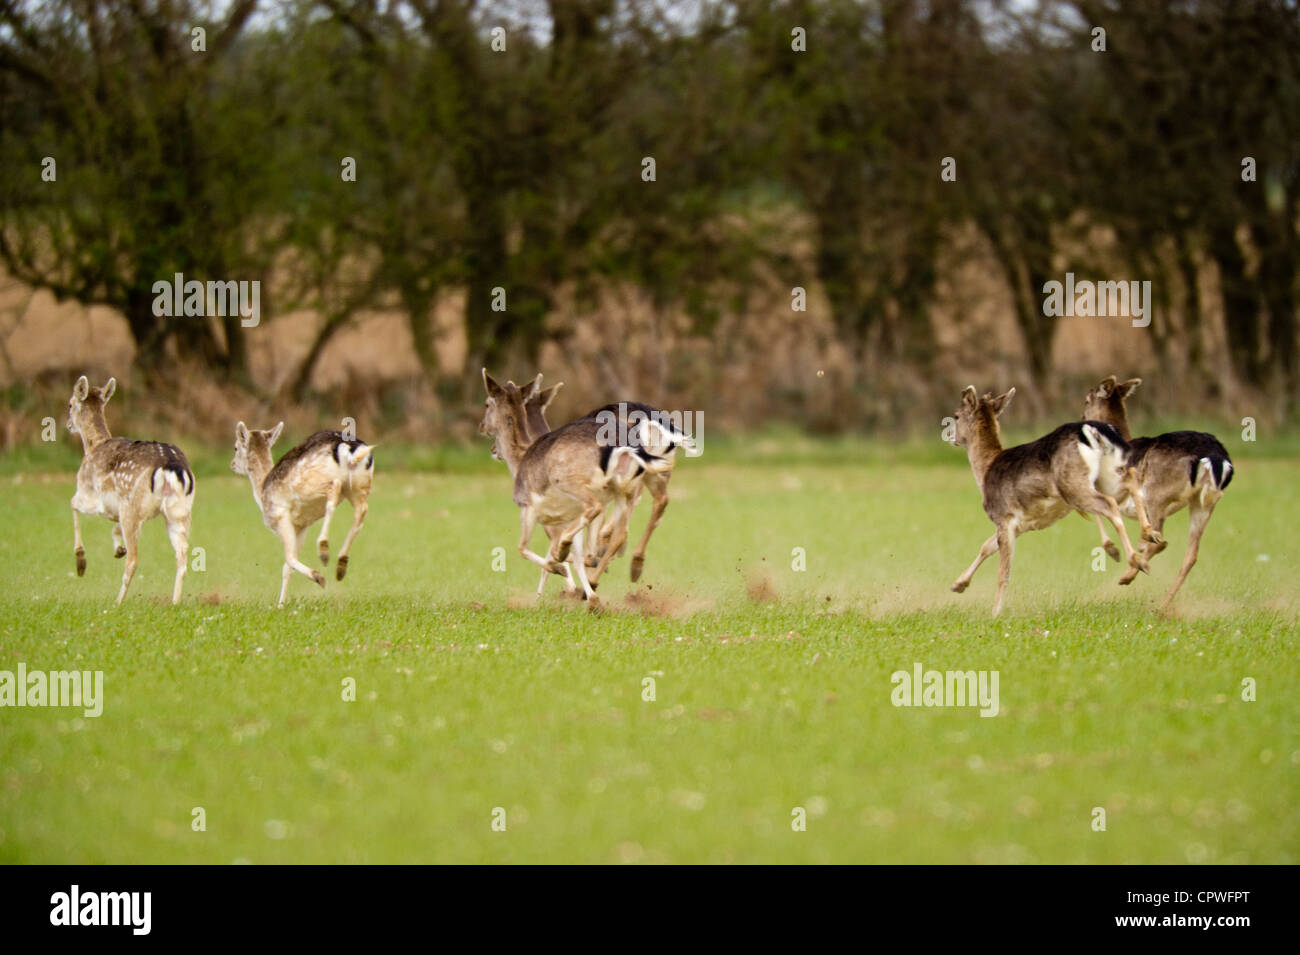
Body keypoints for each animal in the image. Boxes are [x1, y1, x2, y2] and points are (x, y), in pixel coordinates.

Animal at [66, 375, 195, 605]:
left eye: (70, 404)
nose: (68, 424)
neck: (93, 447)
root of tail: (171, 466)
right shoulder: (118, 511)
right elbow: (114, 529)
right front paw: (119, 549)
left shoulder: (89, 494)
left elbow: (72, 503)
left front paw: (81, 563)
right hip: (178, 512)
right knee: (182, 557)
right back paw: (174, 602)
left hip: (132, 503)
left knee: (134, 560)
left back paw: (118, 601)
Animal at [231, 423, 375, 607]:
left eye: (235, 447)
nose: (232, 464)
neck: (262, 492)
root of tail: (350, 448)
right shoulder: (301, 527)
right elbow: (287, 567)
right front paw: (280, 606)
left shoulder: (280, 516)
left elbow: (289, 558)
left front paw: (318, 577)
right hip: (359, 486)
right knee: (361, 510)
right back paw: (341, 565)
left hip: (314, 483)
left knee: (334, 489)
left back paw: (324, 550)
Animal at [479, 371, 679, 607]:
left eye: (487, 404)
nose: (491, 445)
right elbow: (581, 554)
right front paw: (583, 589)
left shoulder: (536, 511)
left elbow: (534, 550)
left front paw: (555, 586)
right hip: (642, 478)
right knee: (651, 507)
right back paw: (629, 565)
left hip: (576, 483)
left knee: (600, 516)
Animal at [949, 386, 1148, 616]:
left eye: (956, 415)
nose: (950, 435)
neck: (985, 471)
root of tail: (1094, 431)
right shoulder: (1022, 524)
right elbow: (986, 547)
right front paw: (958, 584)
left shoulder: (1004, 516)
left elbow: (1003, 571)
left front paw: (995, 612)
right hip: (1108, 475)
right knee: (1131, 479)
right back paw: (1149, 536)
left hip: (1073, 484)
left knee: (1109, 504)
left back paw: (1135, 559)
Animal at [1082, 376, 1233, 610]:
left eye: (1086, 400)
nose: (1082, 418)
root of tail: (1216, 457)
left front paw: (1112, 549)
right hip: (1205, 503)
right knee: (1190, 555)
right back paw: (1162, 605)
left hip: (1157, 492)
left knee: (1162, 540)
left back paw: (1128, 576)